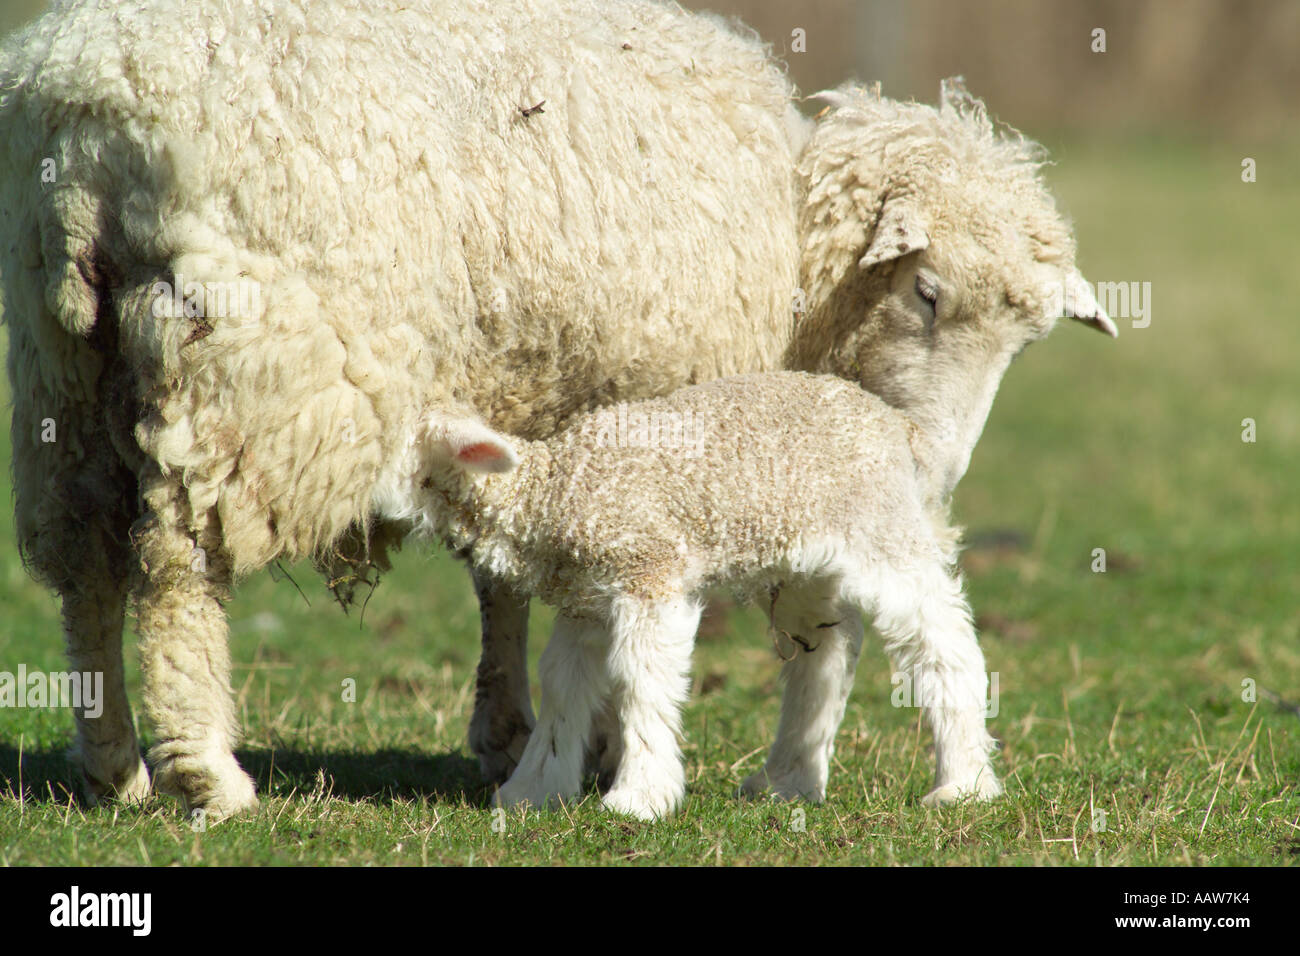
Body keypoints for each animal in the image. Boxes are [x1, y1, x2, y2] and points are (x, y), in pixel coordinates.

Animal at [0, 0, 1112, 822]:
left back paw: (113, 763)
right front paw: (603, 749)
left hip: (61, 376)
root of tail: (93, 116)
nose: (936, 467)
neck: (796, 241)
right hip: (260, 371)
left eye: (1029, 338)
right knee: (179, 569)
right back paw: (208, 773)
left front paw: (515, 735)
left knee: (85, 568)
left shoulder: (535, 396)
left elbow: (508, 582)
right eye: (927, 293)